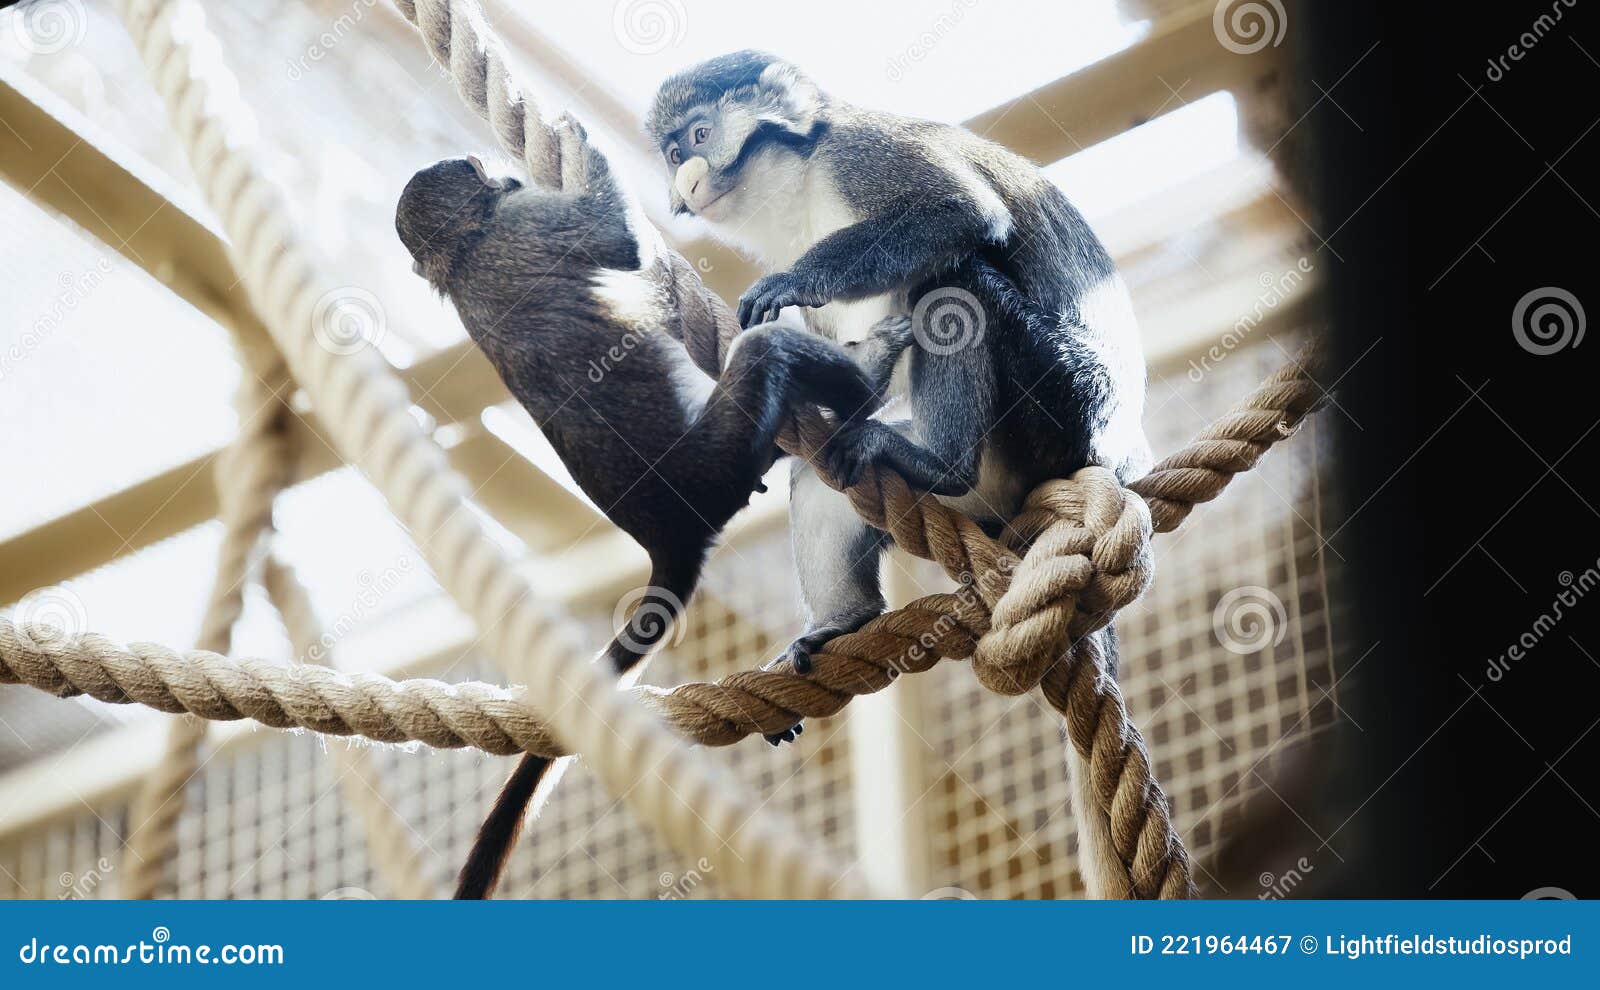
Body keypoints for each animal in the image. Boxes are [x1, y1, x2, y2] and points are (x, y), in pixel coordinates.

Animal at [395, 126, 958, 897]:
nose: (504, 175)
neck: (461, 255)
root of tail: (667, 533)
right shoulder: (527, 222)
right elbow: (617, 241)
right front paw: (579, 140)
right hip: (718, 458)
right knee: (763, 352)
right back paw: (867, 376)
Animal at [646, 51, 1152, 678]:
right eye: (672, 154)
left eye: (699, 135)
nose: (685, 181)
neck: (800, 183)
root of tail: (1118, 456)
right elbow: (860, 382)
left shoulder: (859, 153)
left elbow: (962, 211)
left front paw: (792, 283)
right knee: (819, 479)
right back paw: (842, 619)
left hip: (1070, 403)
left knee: (954, 279)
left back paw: (940, 462)